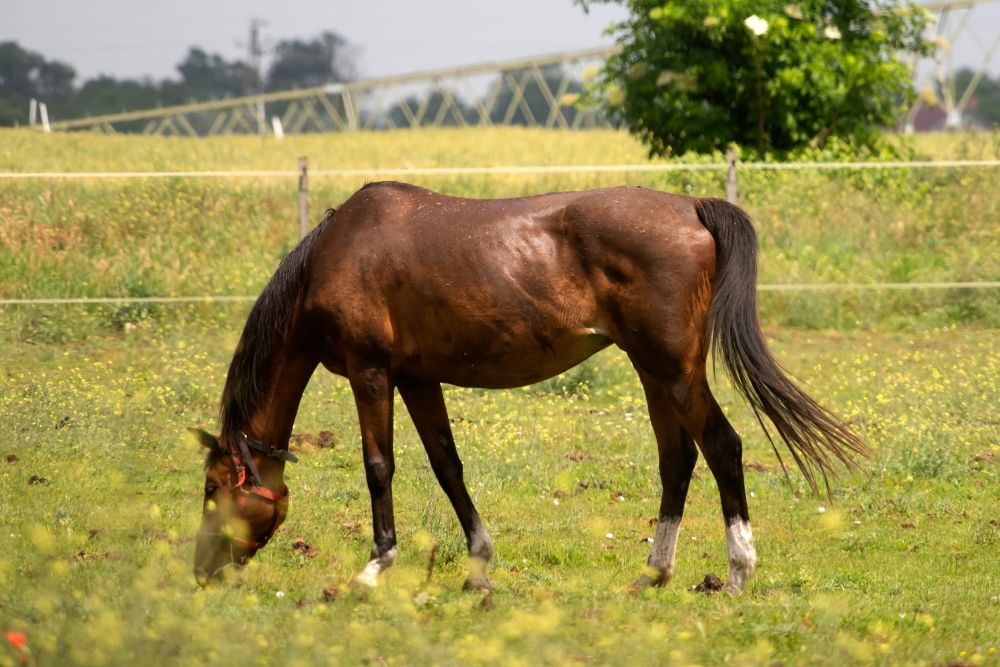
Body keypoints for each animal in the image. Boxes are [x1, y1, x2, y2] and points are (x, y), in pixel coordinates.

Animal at [192, 181, 866, 593]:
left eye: (212, 489)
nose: (202, 572)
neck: (334, 255)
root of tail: (691, 207)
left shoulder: (372, 372)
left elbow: (379, 467)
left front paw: (374, 568)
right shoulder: (418, 378)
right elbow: (447, 465)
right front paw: (479, 569)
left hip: (673, 368)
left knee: (723, 447)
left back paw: (737, 574)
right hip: (654, 372)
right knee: (677, 459)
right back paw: (653, 574)